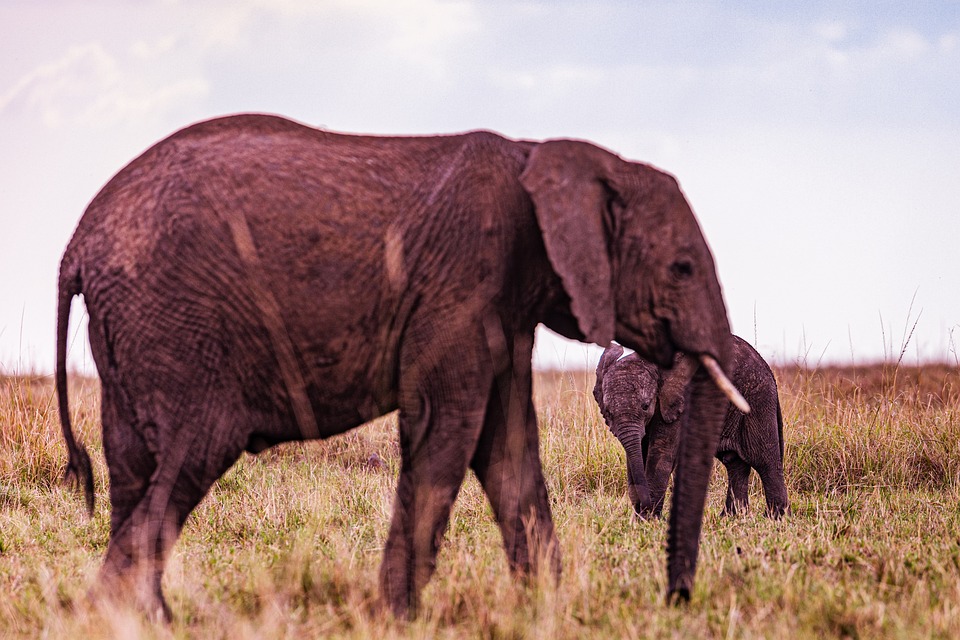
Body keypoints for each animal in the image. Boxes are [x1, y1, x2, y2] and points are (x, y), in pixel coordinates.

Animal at [56, 113, 744, 617]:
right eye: (683, 267)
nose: (676, 599)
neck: (545, 159)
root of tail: (77, 246)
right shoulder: (460, 288)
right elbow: (449, 432)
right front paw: (395, 618)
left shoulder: (502, 308)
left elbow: (509, 449)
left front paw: (549, 610)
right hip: (181, 328)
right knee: (186, 460)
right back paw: (110, 617)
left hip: (135, 336)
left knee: (133, 473)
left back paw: (145, 620)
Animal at [594, 335, 788, 519]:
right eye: (608, 411)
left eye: (645, 406)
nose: (643, 506)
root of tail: (768, 370)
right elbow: (637, 455)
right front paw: (640, 520)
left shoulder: (679, 400)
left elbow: (661, 454)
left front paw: (647, 521)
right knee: (734, 462)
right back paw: (732, 517)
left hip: (757, 399)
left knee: (764, 460)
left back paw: (774, 518)